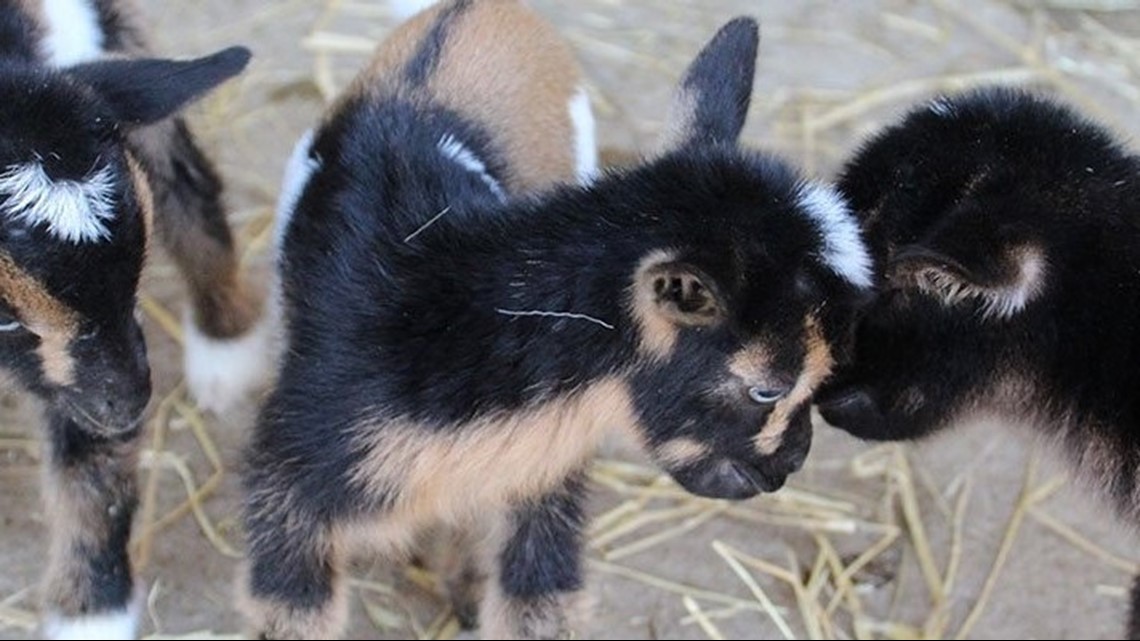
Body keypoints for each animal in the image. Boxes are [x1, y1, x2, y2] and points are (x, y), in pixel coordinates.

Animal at [0, 0, 251, 637]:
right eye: (6, 321)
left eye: (135, 275)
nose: (132, 403)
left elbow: (94, 471)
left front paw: (92, 615)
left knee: (185, 178)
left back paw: (225, 352)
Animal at [240, 3, 872, 638]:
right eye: (768, 388)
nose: (789, 466)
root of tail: (480, 11)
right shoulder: (292, 479)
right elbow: (293, 603)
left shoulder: (540, 476)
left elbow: (536, 598)